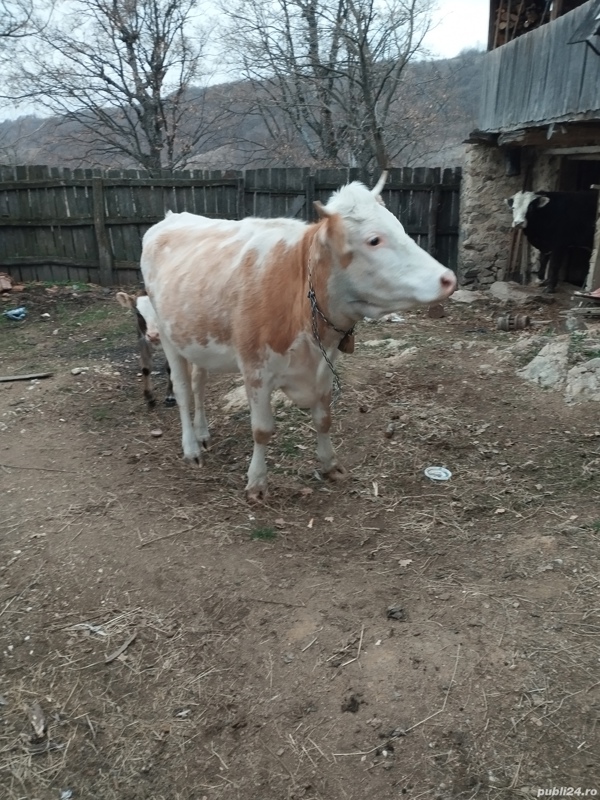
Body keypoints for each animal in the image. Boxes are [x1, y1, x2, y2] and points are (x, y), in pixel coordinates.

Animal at [141, 174, 456, 500]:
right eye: (374, 240)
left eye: (400, 227)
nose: (448, 278)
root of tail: (172, 217)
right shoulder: (255, 369)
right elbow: (262, 429)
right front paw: (257, 481)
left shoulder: (324, 365)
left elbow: (324, 418)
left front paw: (330, 465)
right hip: (166, 334)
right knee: (183, 391)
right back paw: (191, 448)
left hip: (196, 338)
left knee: (199, 384)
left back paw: (203, 433)